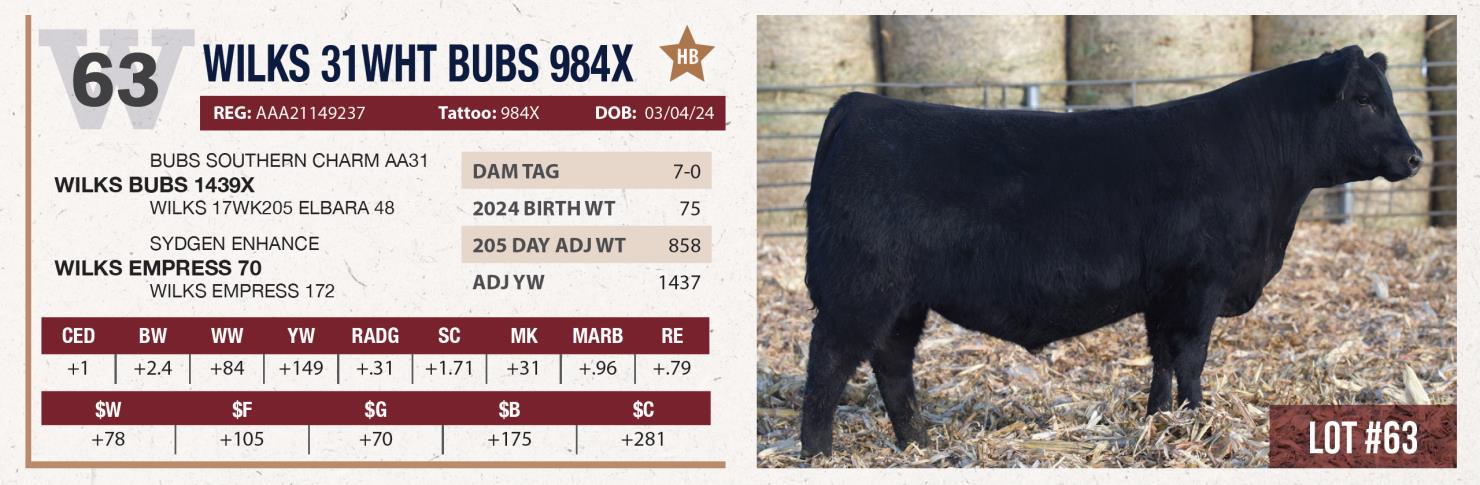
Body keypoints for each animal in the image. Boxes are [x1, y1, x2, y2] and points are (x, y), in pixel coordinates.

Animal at [799, 45, 1422, 456]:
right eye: (1365, 100)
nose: (1414, 157)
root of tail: (858, 106)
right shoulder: (1201, 283)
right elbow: (1191, 358)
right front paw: (1197, 425)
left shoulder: (1166, 293)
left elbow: (1163, 359)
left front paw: (1159, 421)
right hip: (860, 289)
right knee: (829, 363)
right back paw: (818, 453)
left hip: (903, 299)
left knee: (892, 365)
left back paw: (917, 444)